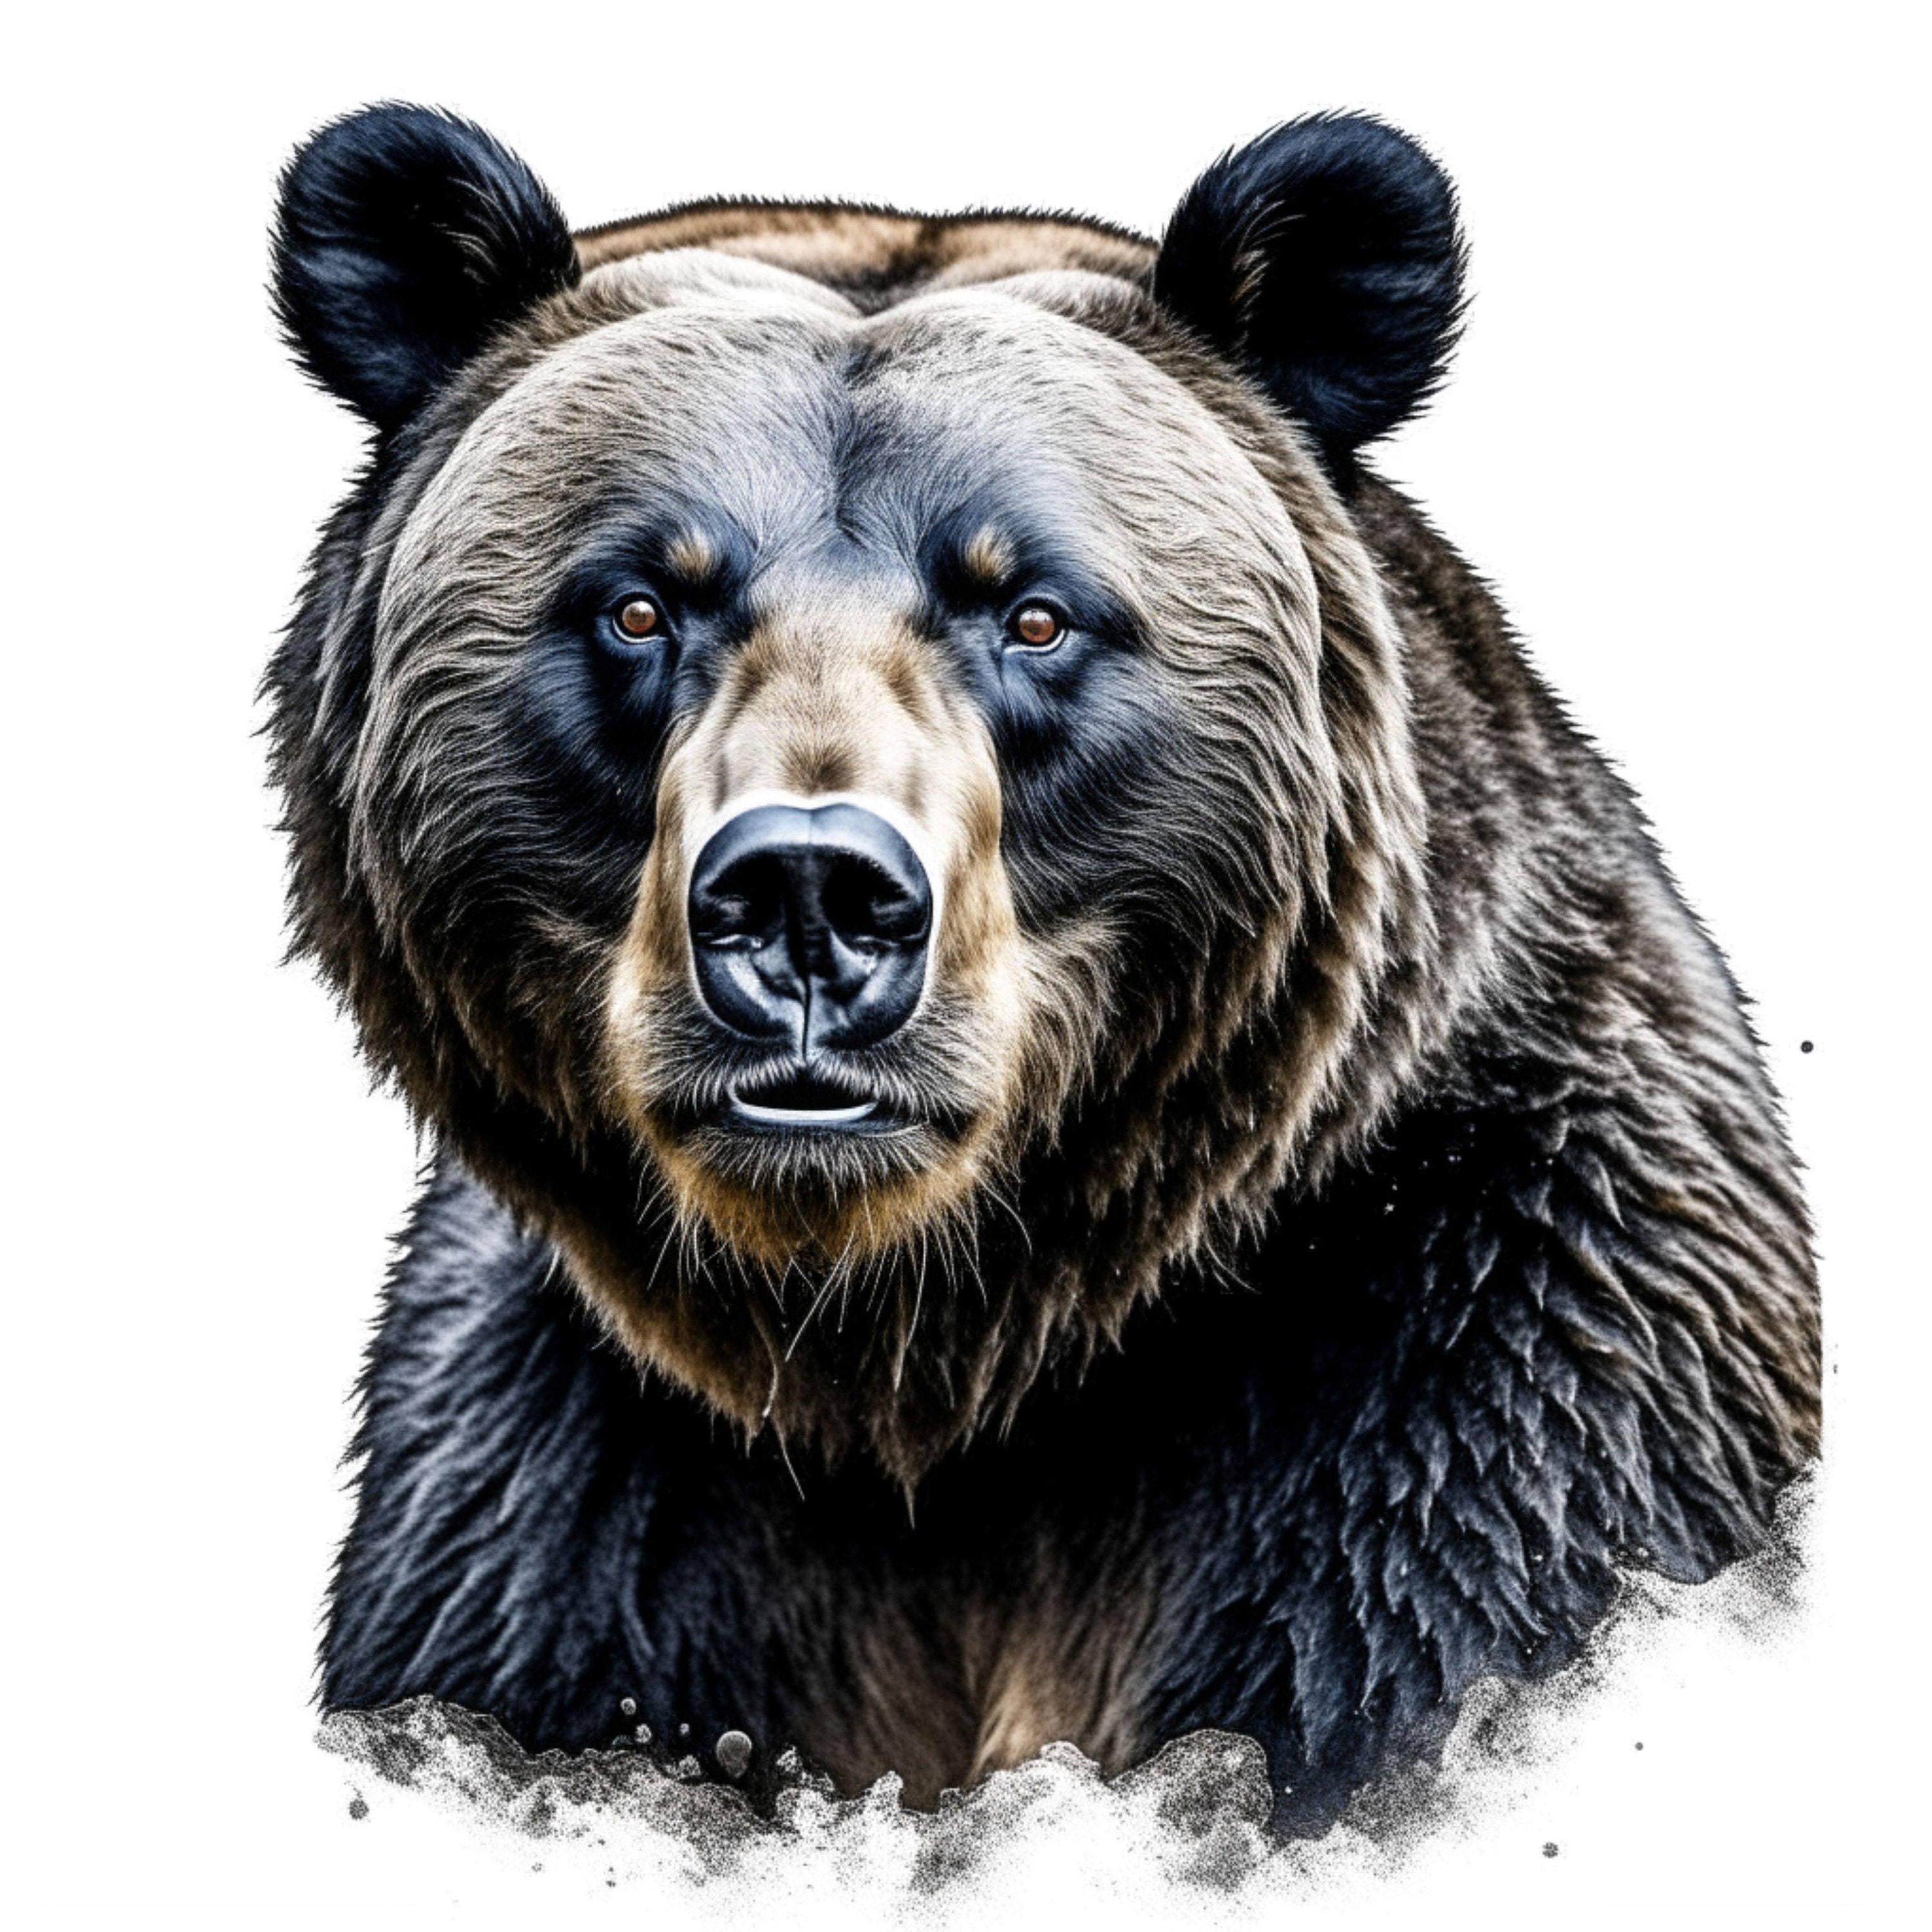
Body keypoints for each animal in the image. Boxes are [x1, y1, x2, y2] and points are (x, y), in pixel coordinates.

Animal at [268, 103, 1819, 1834]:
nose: (810, 895)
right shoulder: (574, 1516)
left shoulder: (1485, 1376)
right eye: (638, 602)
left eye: (1031, 610)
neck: (935, 1357)